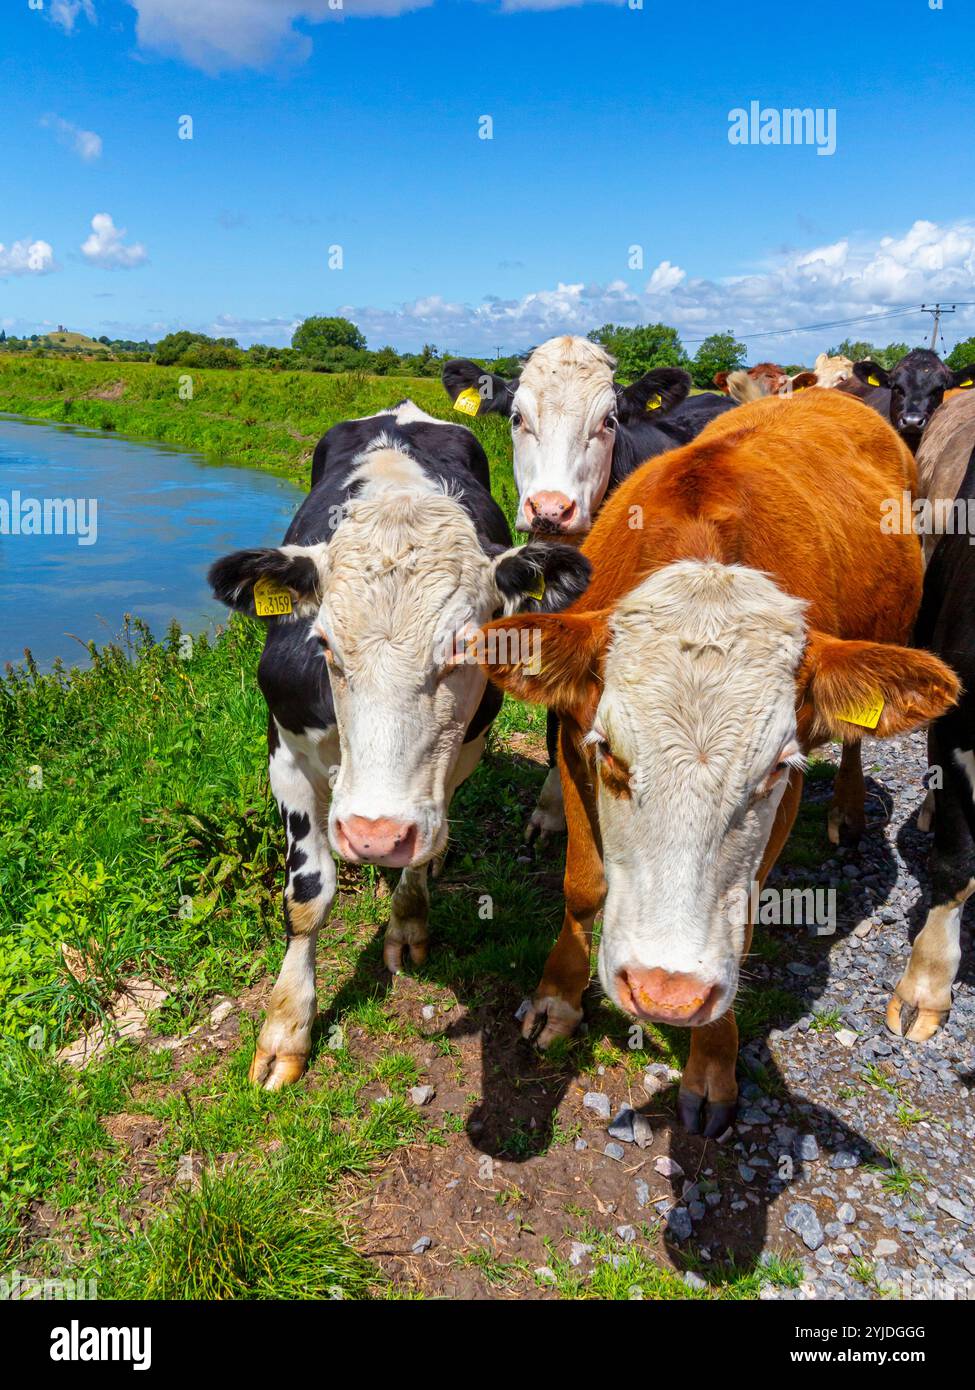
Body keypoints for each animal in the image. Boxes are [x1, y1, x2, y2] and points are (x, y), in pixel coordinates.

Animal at [209, 401, 589, 1090]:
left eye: (467, 645)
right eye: (325, 643)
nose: (373, 836)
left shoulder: (462, 752)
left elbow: (424, 843)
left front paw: (409, 919)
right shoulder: (285, 751)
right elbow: (307, 898)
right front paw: (285, 1029)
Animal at [476, 389, 958, 1135]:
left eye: (773, 770)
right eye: (610, 752)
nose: (664, 991)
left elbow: (745, 913)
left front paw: (710, 1062)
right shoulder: (570, 736)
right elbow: (582, 886)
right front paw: (557, 998)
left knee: (852, 741)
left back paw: (848, 812)